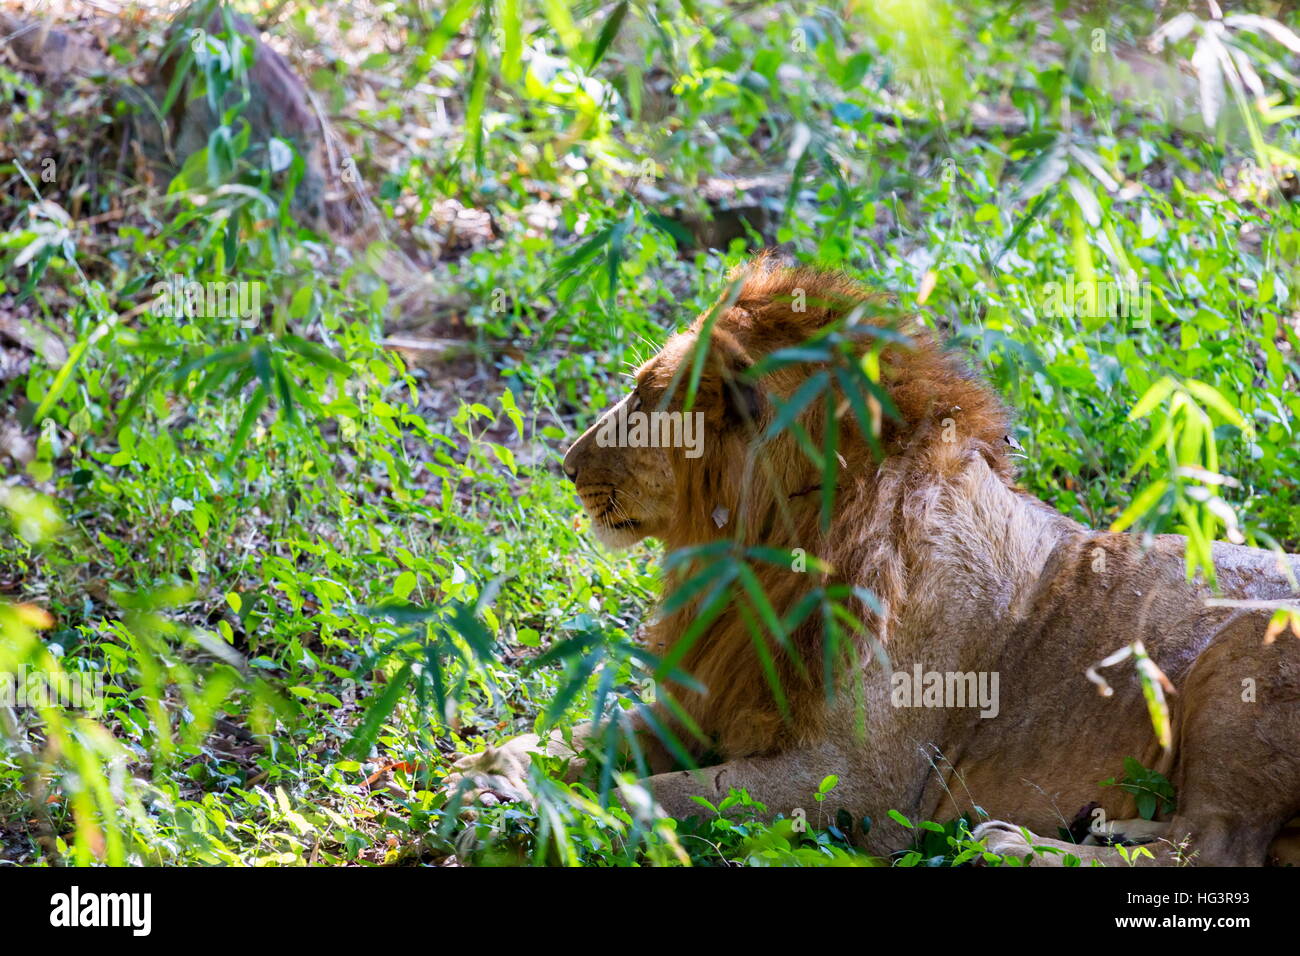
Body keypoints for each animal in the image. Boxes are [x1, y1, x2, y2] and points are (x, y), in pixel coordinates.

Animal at [449, 256, 1300, 866]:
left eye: (643, 395)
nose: (566, 462)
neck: (762, 557)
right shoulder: (710, 704)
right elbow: (580, 741)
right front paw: (483, 776)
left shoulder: (858, 786)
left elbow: (659, 796)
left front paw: (526, 820)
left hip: (1247, 652)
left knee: (1217, 849)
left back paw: (1014, 847)